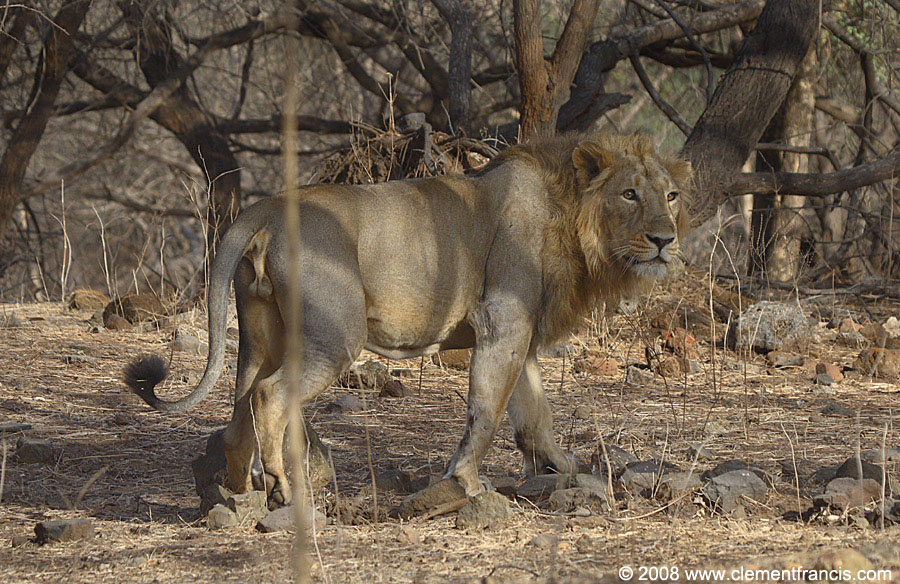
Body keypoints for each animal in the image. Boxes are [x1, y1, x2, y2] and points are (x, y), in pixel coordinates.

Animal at [124, 132, 691, 509]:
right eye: (629, 193)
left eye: (671, 195)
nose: (666, 238)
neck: (570, 212)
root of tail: (265, 208)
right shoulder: (501, 321)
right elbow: (487, 413)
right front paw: (466, 482)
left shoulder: (523, 336)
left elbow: (535, 417)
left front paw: (567, 469)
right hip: (335, 334)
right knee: (269, 396)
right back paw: (285, 491)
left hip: (262, 333)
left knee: (241, 408)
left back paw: (243, 492)